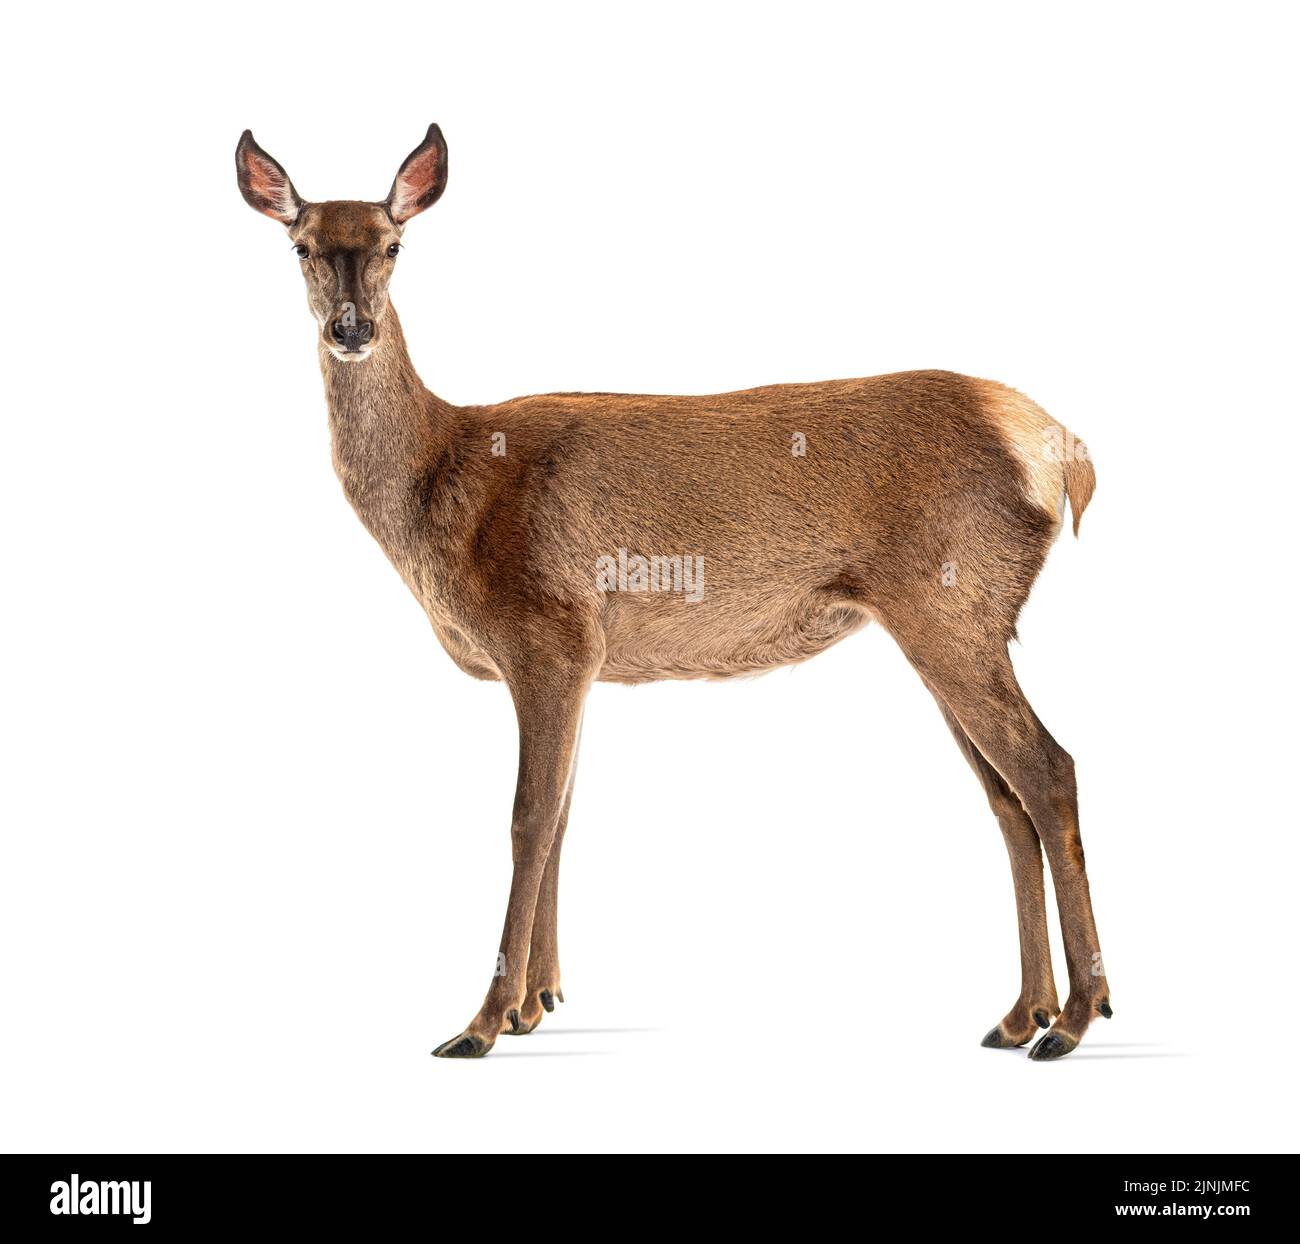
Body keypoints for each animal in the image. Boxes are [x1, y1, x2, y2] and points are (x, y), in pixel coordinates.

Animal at [236, 123, 1111, 1061]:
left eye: (394, 245)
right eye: (301, 246)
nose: (351, 328)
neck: (444, 484)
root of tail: (1063, 451)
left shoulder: (547, 629)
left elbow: (528, 817)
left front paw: (482, 1022)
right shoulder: (581, 660)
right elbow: (563, 814)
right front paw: (537, 1000)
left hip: (951, 605)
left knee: (1048, 769)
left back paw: (1077, 1016)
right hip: (954, 620)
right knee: (1006, 798)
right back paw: (1022, 1014)